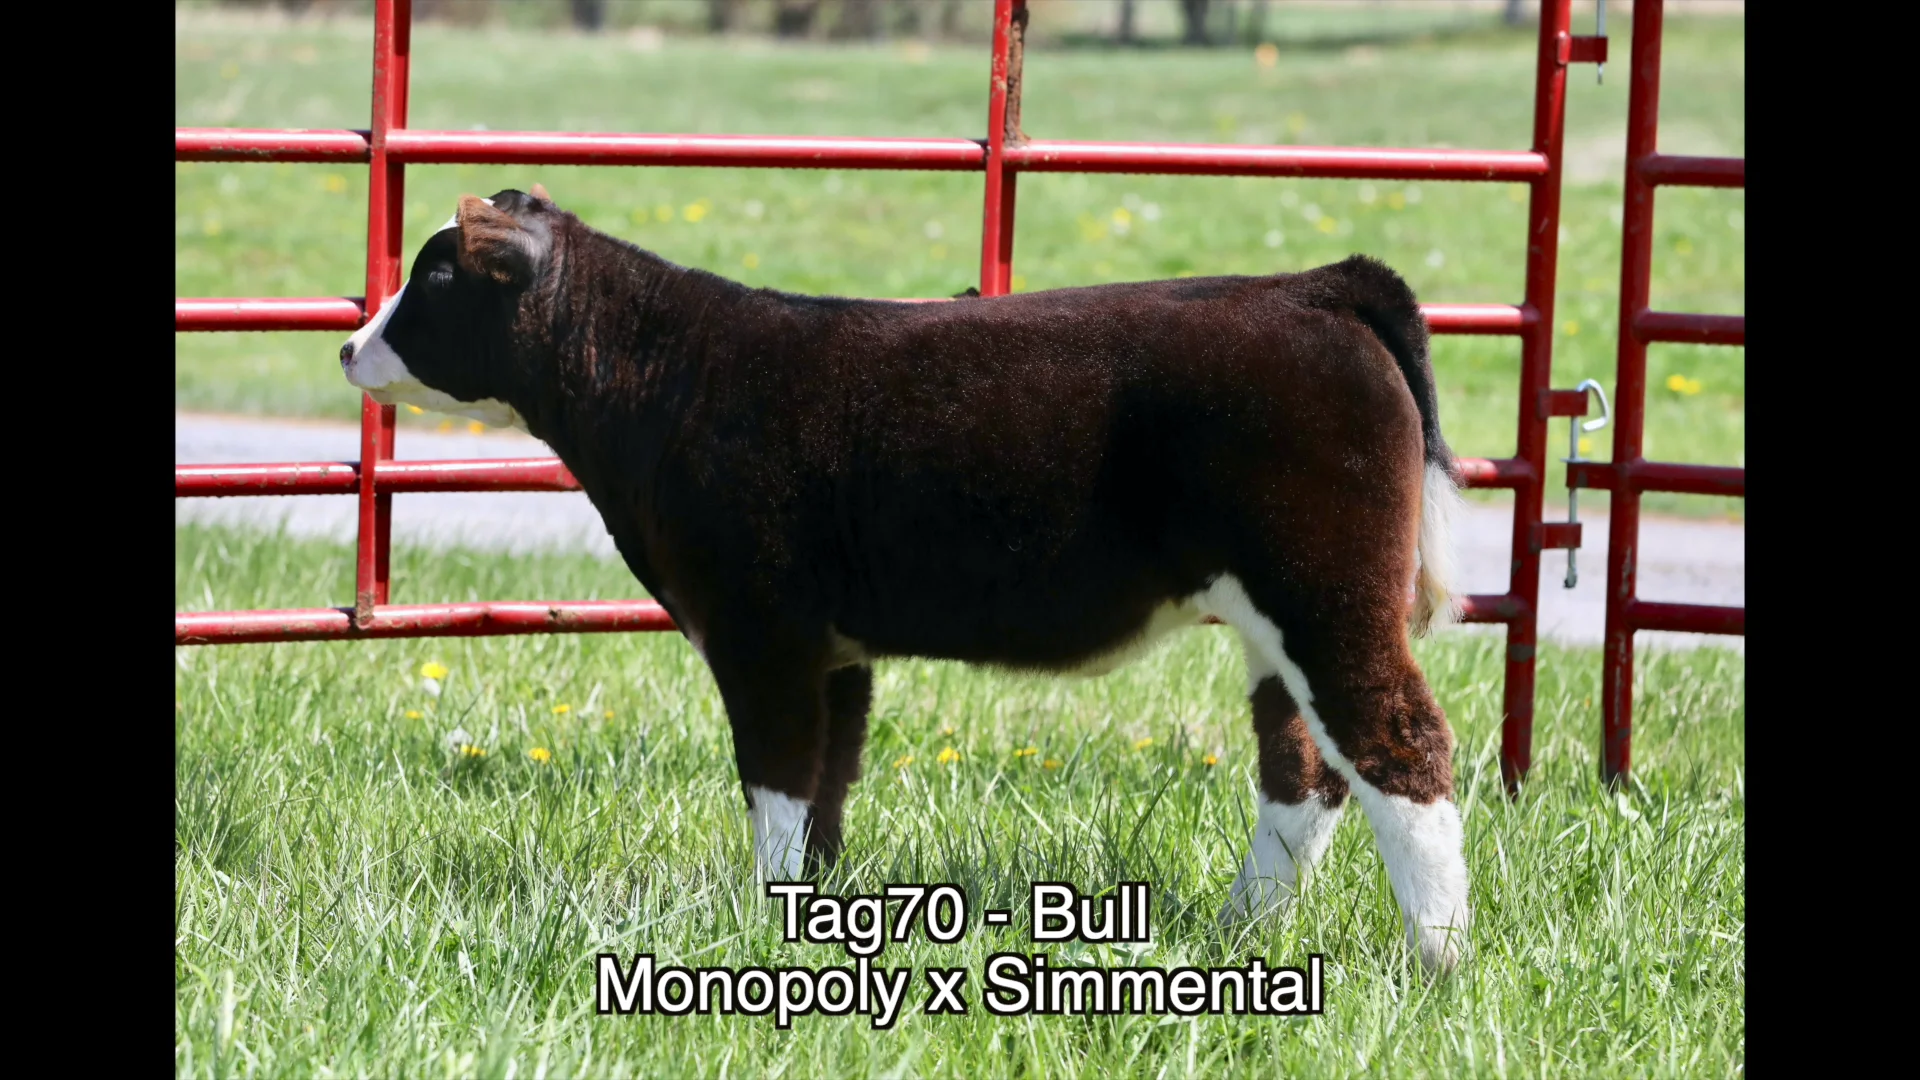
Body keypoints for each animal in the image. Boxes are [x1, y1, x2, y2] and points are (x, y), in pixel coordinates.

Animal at [339, 186, 1472, 972]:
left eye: (435, 278)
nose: (351, 346)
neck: (667, 380)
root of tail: (1317, 286)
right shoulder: (832, 650)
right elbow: (827, 784)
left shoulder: (761, 630)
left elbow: (779, 782)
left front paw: (769, 923)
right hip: (1278, 618)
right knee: (1305, 769)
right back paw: (1242, 930)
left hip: (1324, 593)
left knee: (1398, 745)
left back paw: (1438, 957)